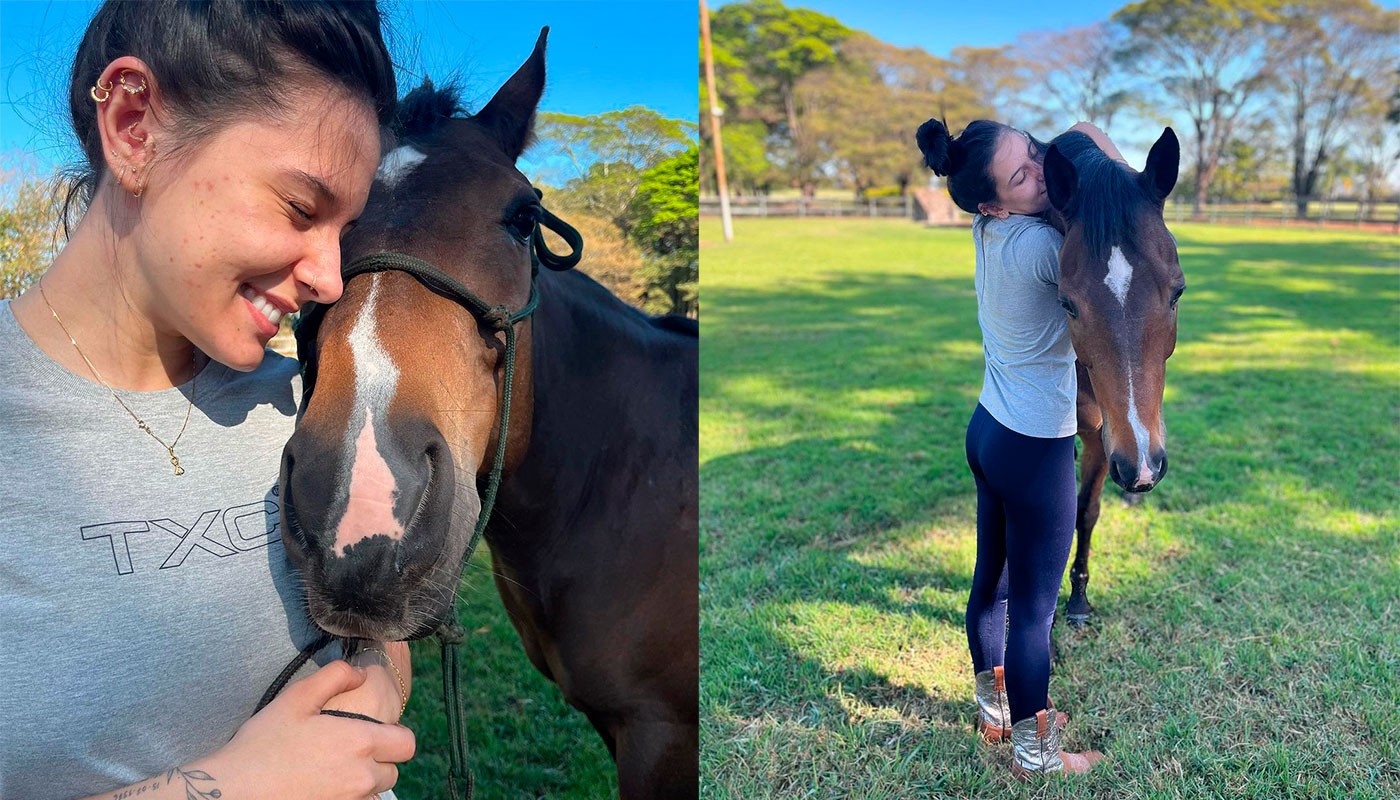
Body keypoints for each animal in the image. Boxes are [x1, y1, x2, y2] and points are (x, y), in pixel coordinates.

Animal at [1041, 127, 1184, 625]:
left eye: (1178, 292)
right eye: (1066, 304)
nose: (1142, 466)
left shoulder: (1106, 435)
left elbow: (1086, 511)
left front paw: (1079, 597)